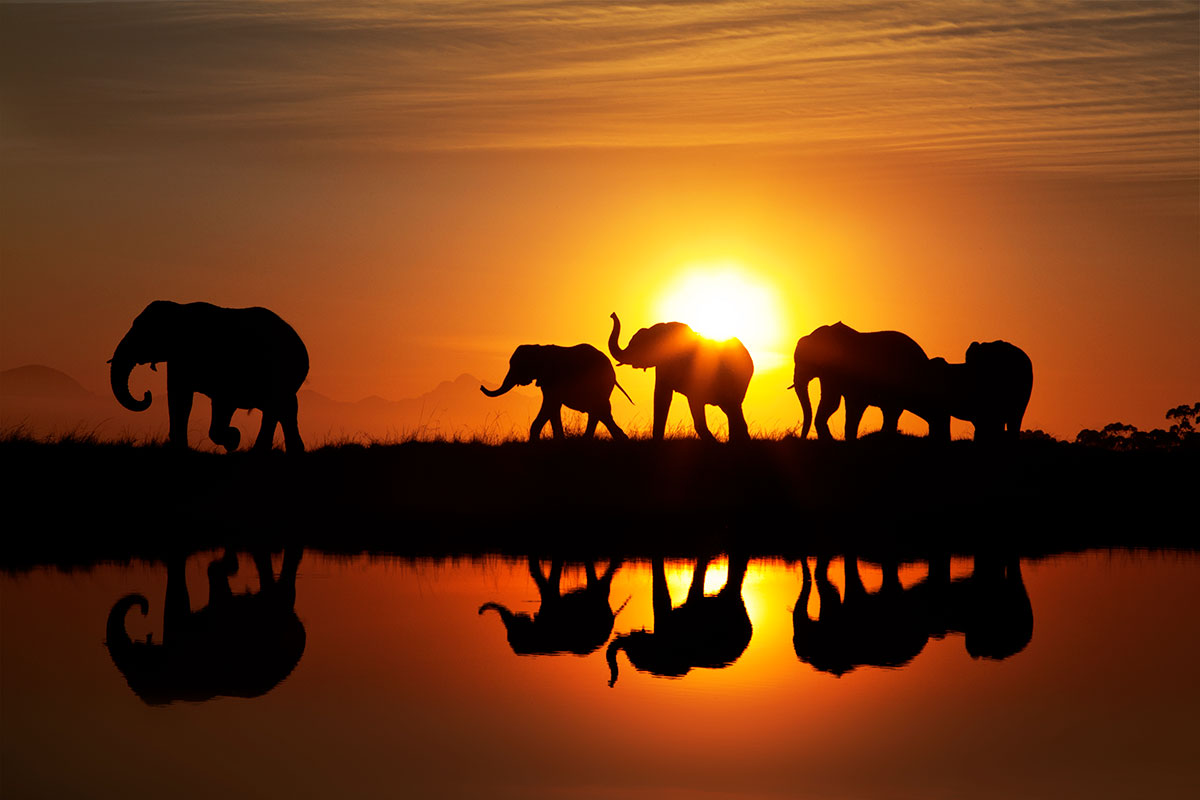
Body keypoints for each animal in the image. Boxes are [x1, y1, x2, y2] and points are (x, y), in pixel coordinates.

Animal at [109, 300, 309, 452]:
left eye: (142, 331)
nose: (146, 394)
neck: (180, 310)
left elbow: (222, 403)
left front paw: (233, 439)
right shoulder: (178, 360)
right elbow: (179, 398)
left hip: (281, 373)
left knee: (275, 408)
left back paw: (258, 452)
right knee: (285, 410)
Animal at [480, 343, 629, 441]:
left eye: (518, 365)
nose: (481, 387)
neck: (539, 349)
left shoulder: (552, 378)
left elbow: (550, 405)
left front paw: (536, 441)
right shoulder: (546, 381)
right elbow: (553, 407)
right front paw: (558, 439)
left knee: (599, 410)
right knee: (602, 411)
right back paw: (620, 438)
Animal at [608, 313, 754, 442]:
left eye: (639, 344)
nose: (612, 315)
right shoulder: (663, 366)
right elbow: (662, 397)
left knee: (732, 408)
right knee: (731, 410)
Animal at [791, 322, 937, 441]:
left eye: (806, 361)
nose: (802, 438)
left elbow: (846, 404)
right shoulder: (829, 373)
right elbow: (831, 403)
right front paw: (829, 440)